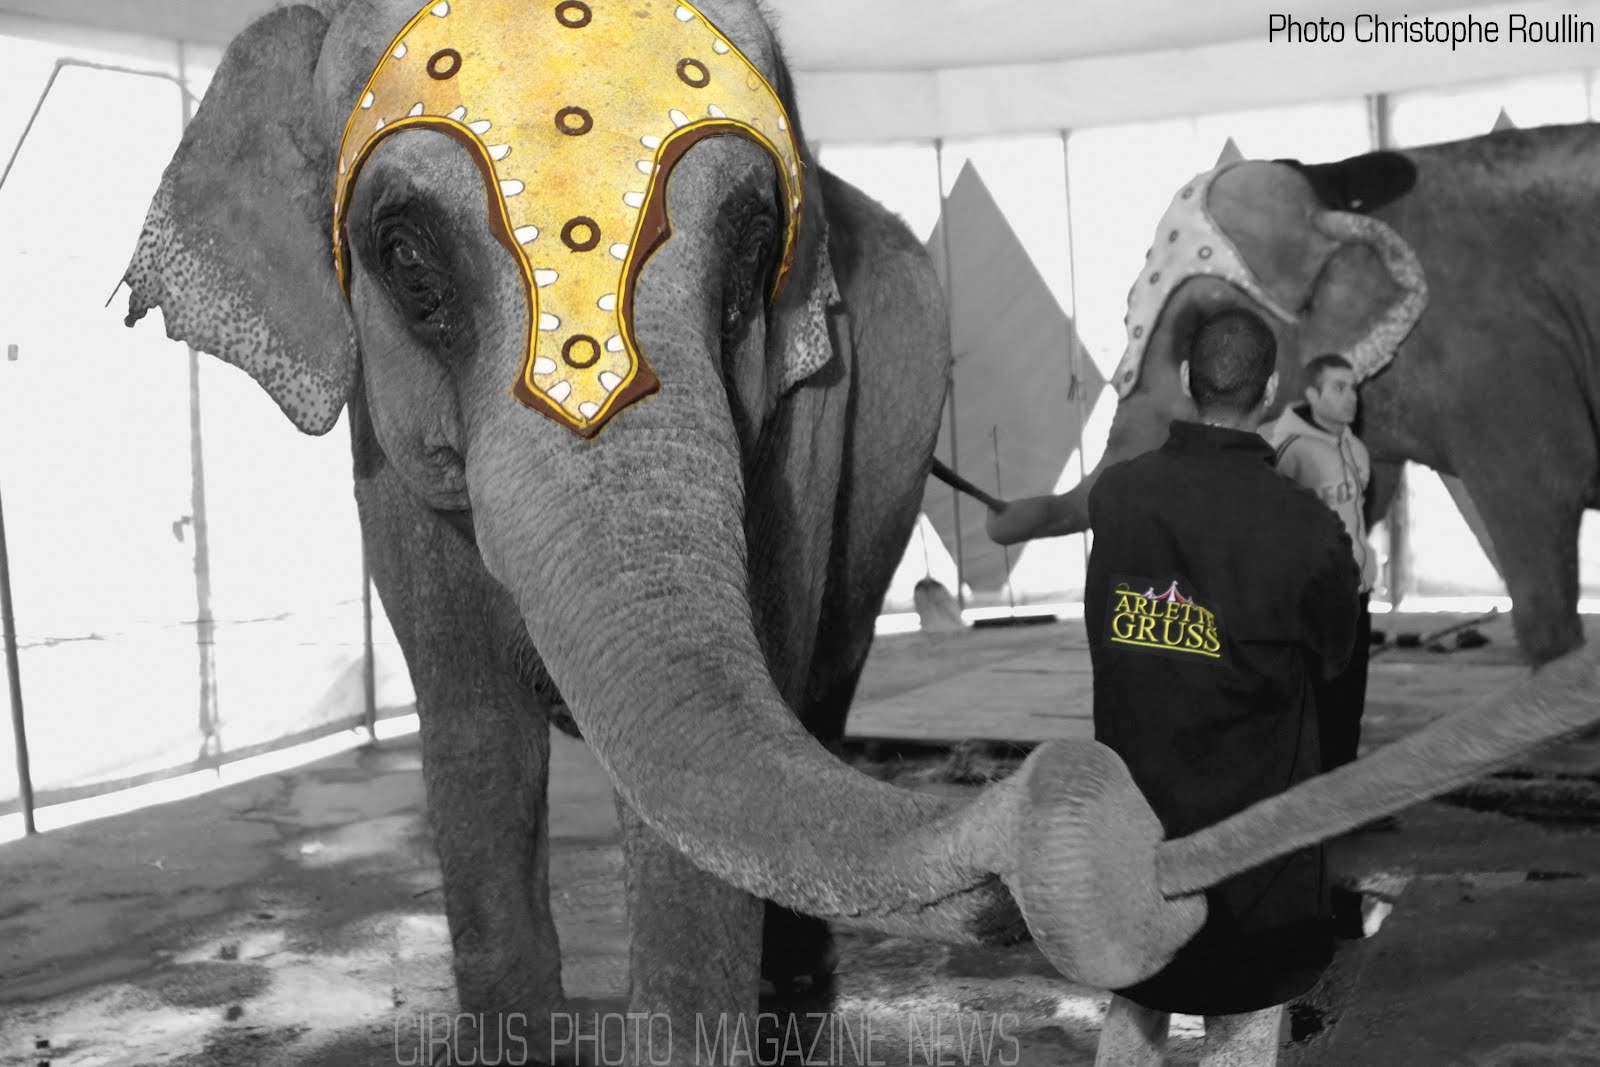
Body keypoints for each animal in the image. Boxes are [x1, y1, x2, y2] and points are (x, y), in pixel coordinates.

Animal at [1000, 129, 1600, 667]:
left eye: (1193, 328)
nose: (1000, 513)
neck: (1332, 189)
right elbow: (1367, 498)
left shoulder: (1502, 352)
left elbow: (1542, 494)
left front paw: (1556, 663)